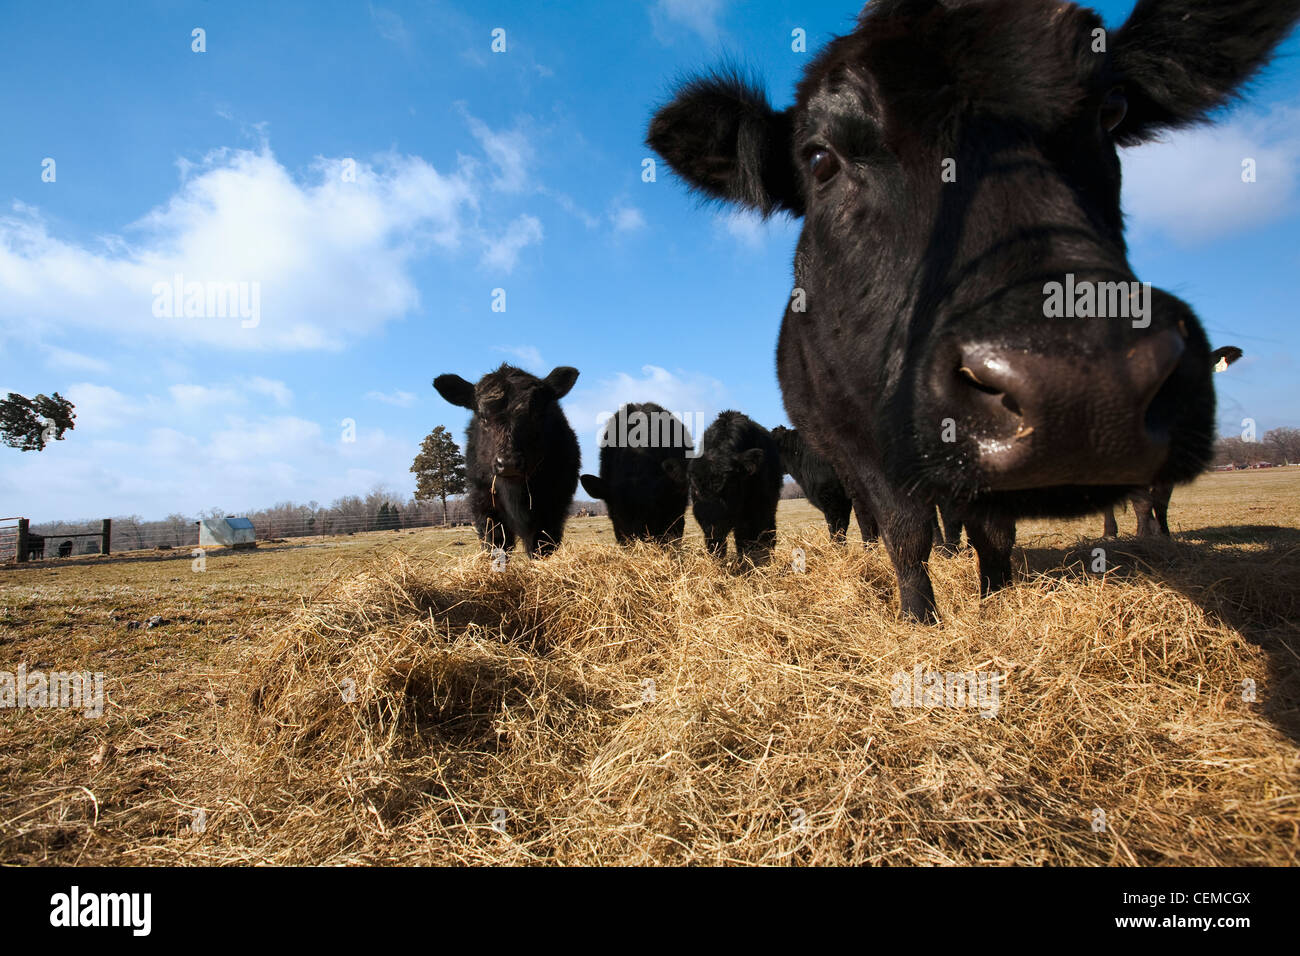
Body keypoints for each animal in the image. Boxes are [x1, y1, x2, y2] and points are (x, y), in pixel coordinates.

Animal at [434, 366, 582, 561]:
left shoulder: (553, 507)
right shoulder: (484, 505)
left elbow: (541, 545)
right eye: (483, 416)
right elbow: (496, 544)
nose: (509, 463)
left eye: (536, 413)